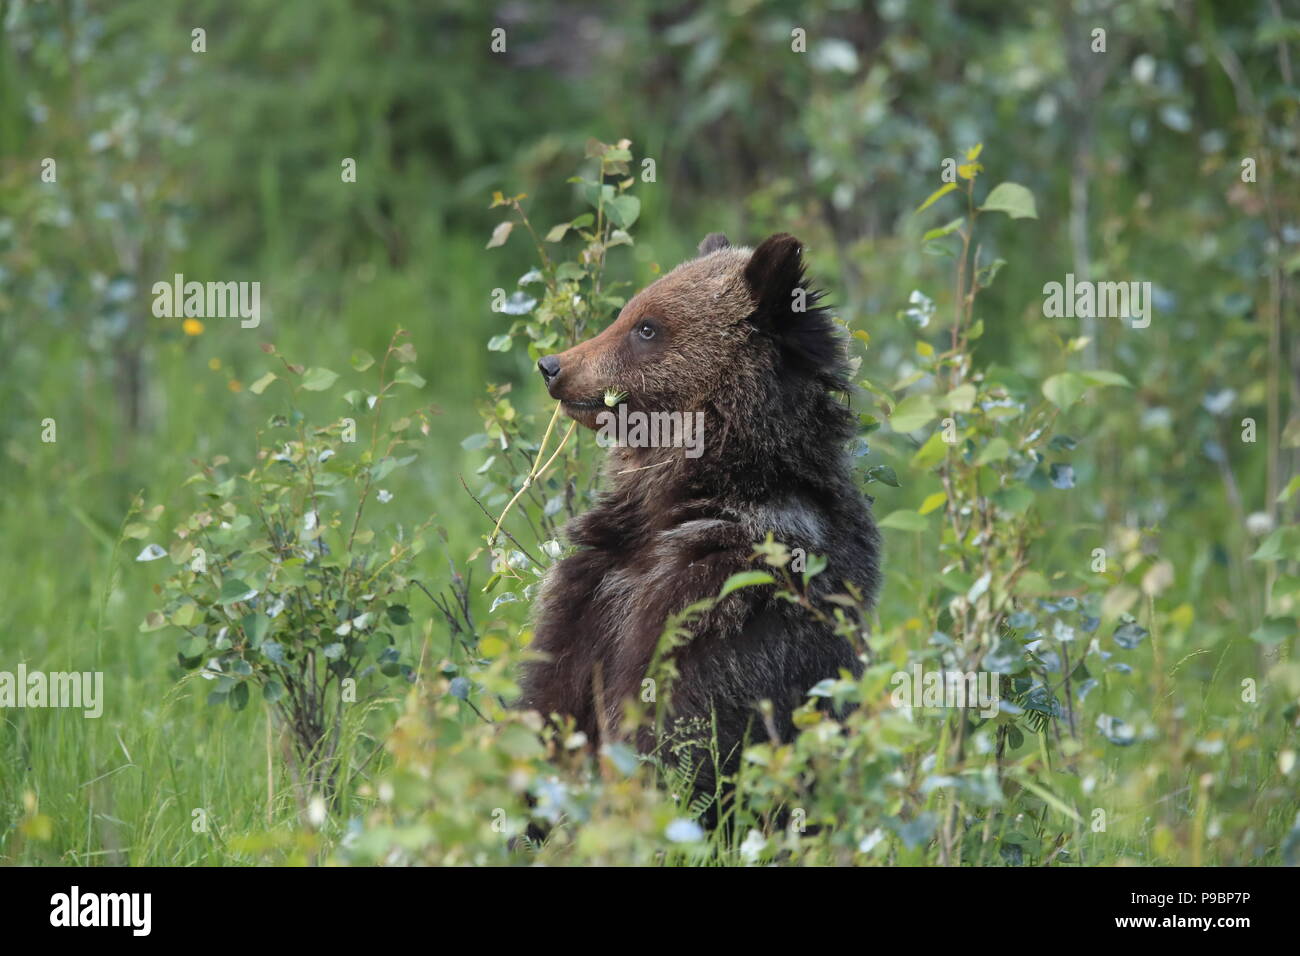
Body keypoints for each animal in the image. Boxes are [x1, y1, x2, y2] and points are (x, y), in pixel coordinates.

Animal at [518, 232, 881, 825]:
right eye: (627, 313)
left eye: (647, 327)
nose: (552, 365)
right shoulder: (597, 586)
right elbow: (551, 699)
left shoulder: (724, 597)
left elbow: (679, 729)